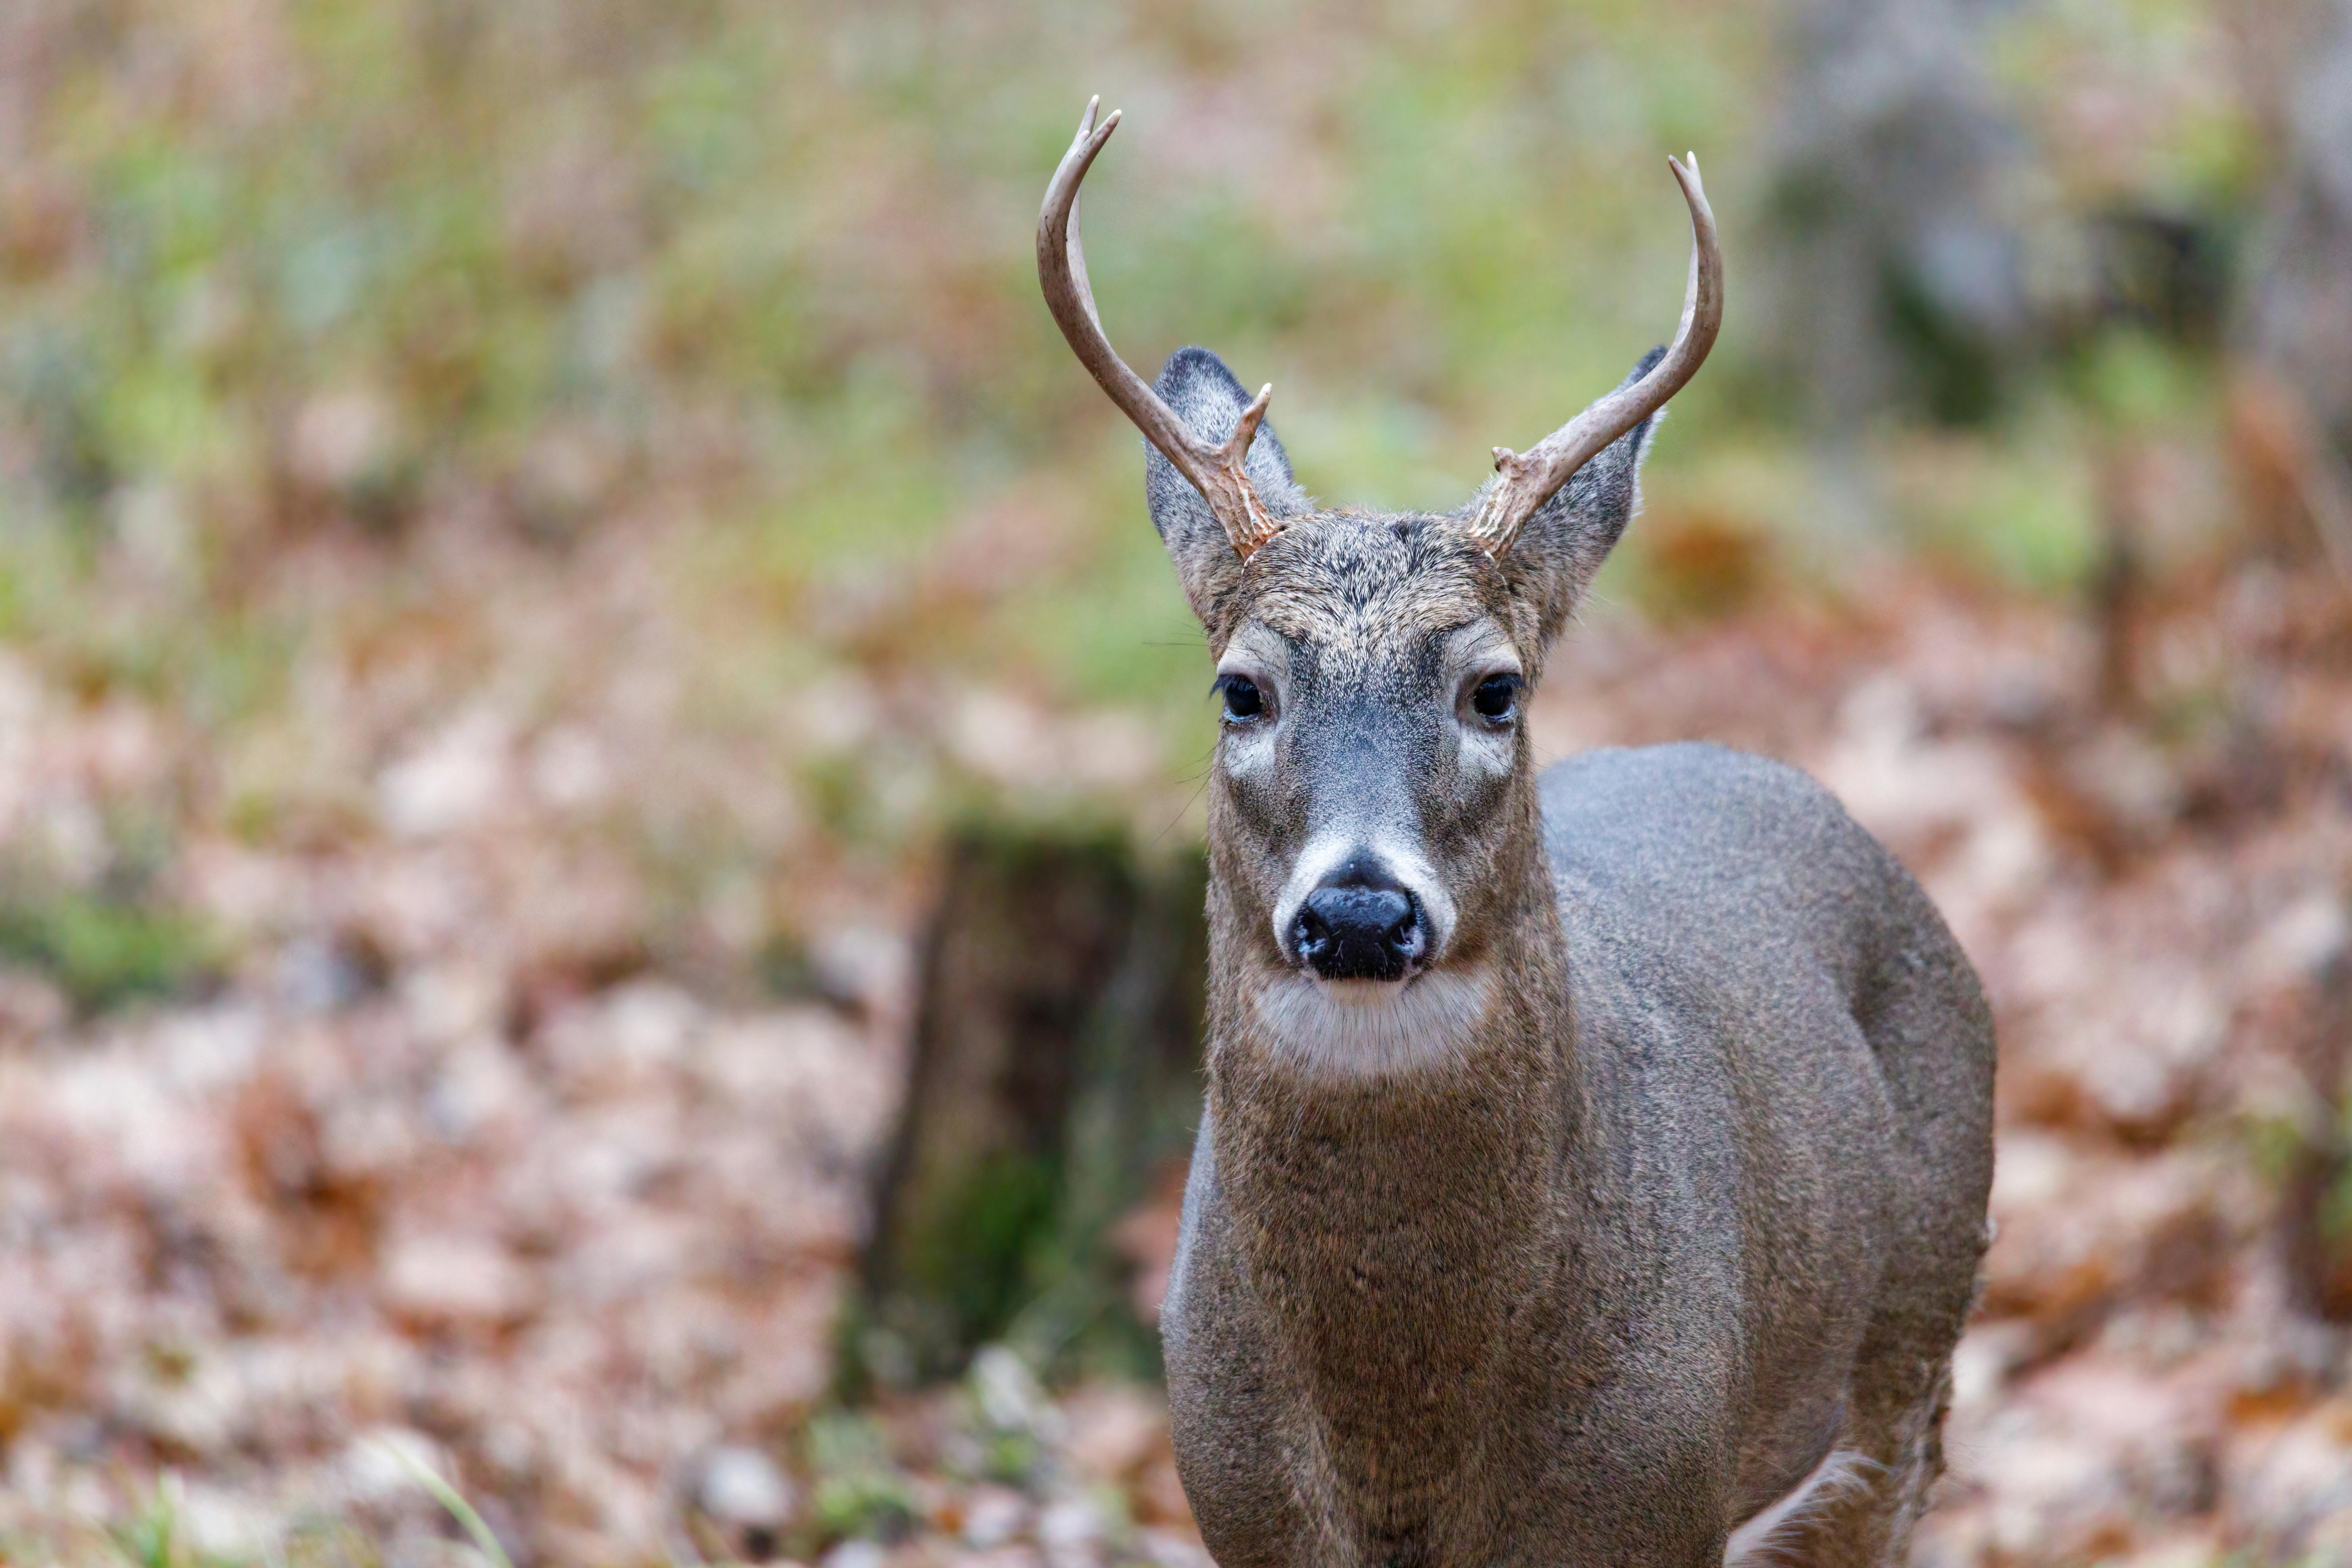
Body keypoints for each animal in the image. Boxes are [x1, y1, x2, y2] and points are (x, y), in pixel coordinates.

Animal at [1036, 100, 1995, 1568]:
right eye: (1240, 689)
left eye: (1494, 688)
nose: (1359, 911)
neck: (1399, 1447)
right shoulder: (1237, 1503)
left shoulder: (1649, 1500)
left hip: (1909, 1351)